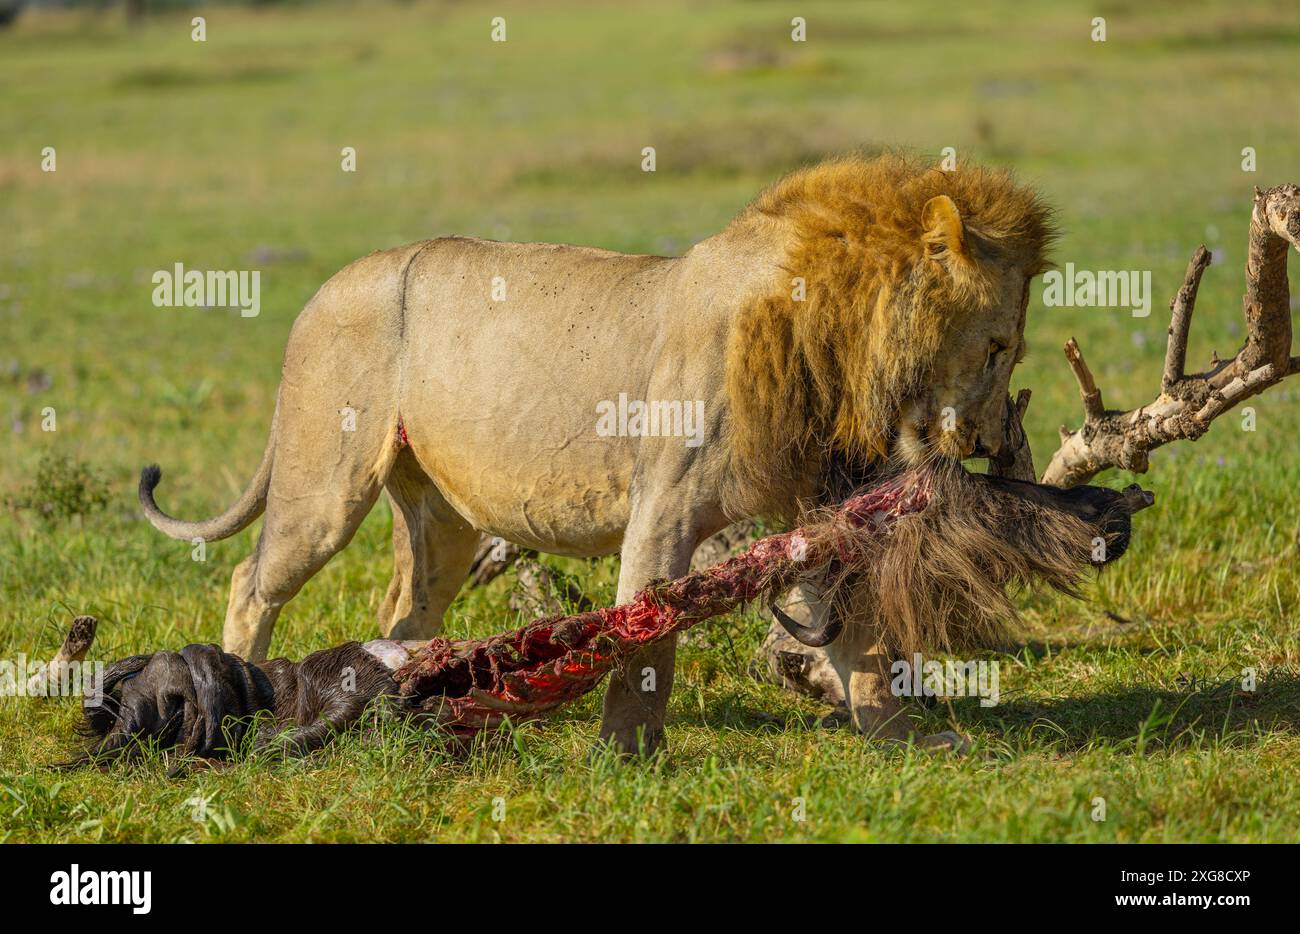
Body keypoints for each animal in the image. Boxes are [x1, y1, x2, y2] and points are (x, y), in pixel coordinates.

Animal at [139, 153, 1055, 753]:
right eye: (999, 346)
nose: (984, 441)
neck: (833, 336)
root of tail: (324, 288)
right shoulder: (665, 507)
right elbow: (647, 638)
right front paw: (627, 758)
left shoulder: (811, 504)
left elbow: (859, 635)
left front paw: (898, 737)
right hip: (323, 484)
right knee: (250, 580)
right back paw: (236, 704)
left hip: (441, 520)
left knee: (406, 610)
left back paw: (406, 715)